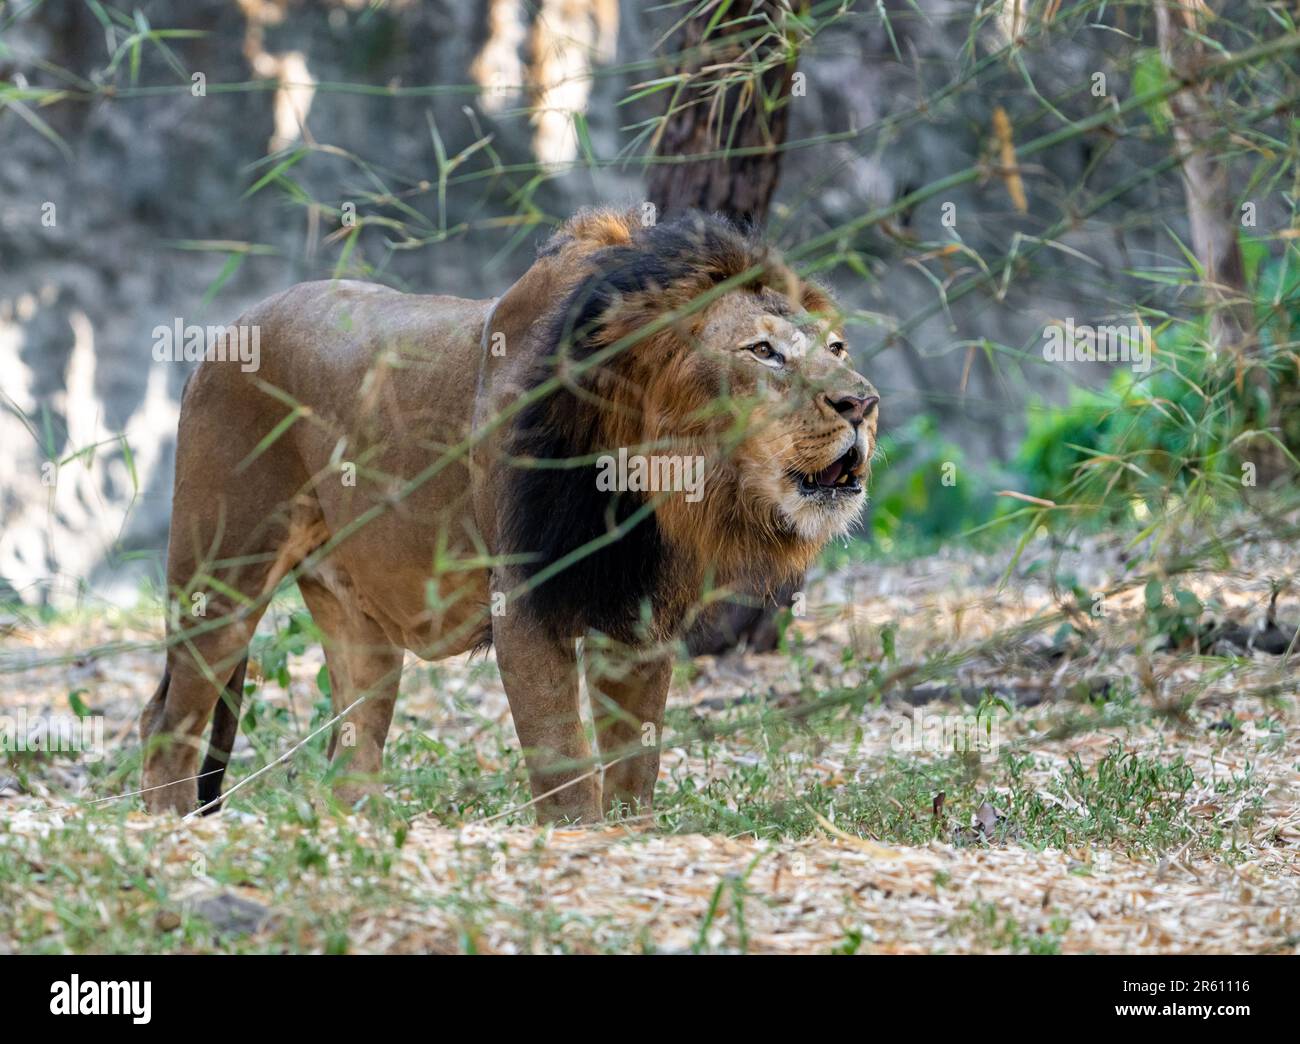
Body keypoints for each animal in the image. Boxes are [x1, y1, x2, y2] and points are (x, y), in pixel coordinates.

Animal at [139, 208, 879, 822]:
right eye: (764, 352)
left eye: (836, 349)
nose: (863, 404)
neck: (648, 469)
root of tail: (226, 333)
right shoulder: (525, 601)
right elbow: (561, 755)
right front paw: (578, 837)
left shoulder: (635, 613)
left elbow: (634, 759)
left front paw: (632, 834)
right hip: (221, 576)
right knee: (168, 721)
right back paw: (167, 829)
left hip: (360, 625)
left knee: (351, 745)